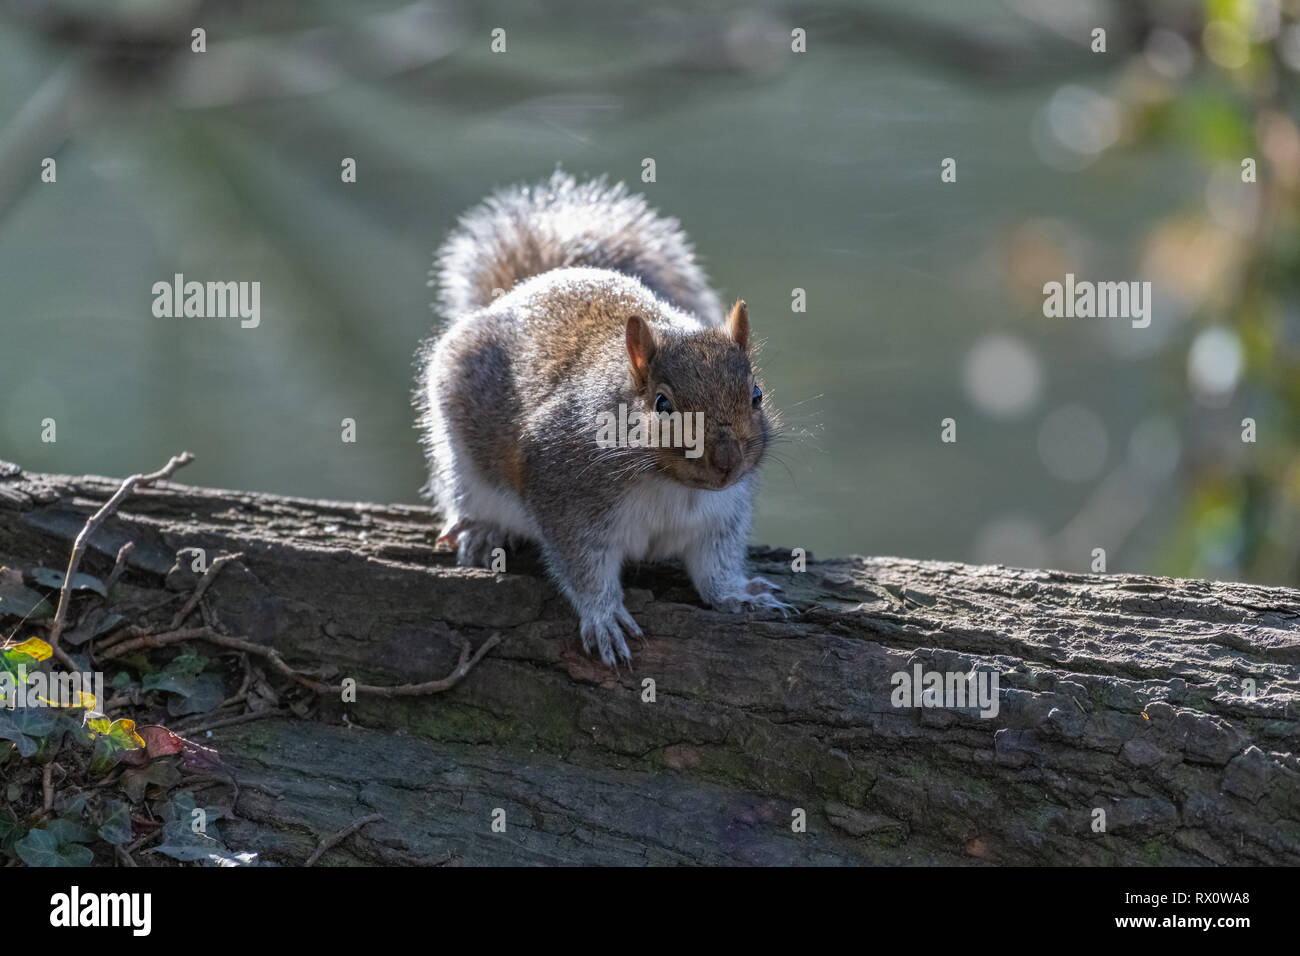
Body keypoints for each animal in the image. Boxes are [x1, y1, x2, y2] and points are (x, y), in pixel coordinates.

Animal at [416, 171, 791, 667]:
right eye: (662, 404)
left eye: (756, 396)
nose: (727, 464)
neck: (669, 484)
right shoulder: (566, 496)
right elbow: (583, 567)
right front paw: (603, 616)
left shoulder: (721, 516)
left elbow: (716, 565)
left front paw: (738, 595)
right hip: (456, 443)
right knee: (461, 488)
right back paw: (480, 528)